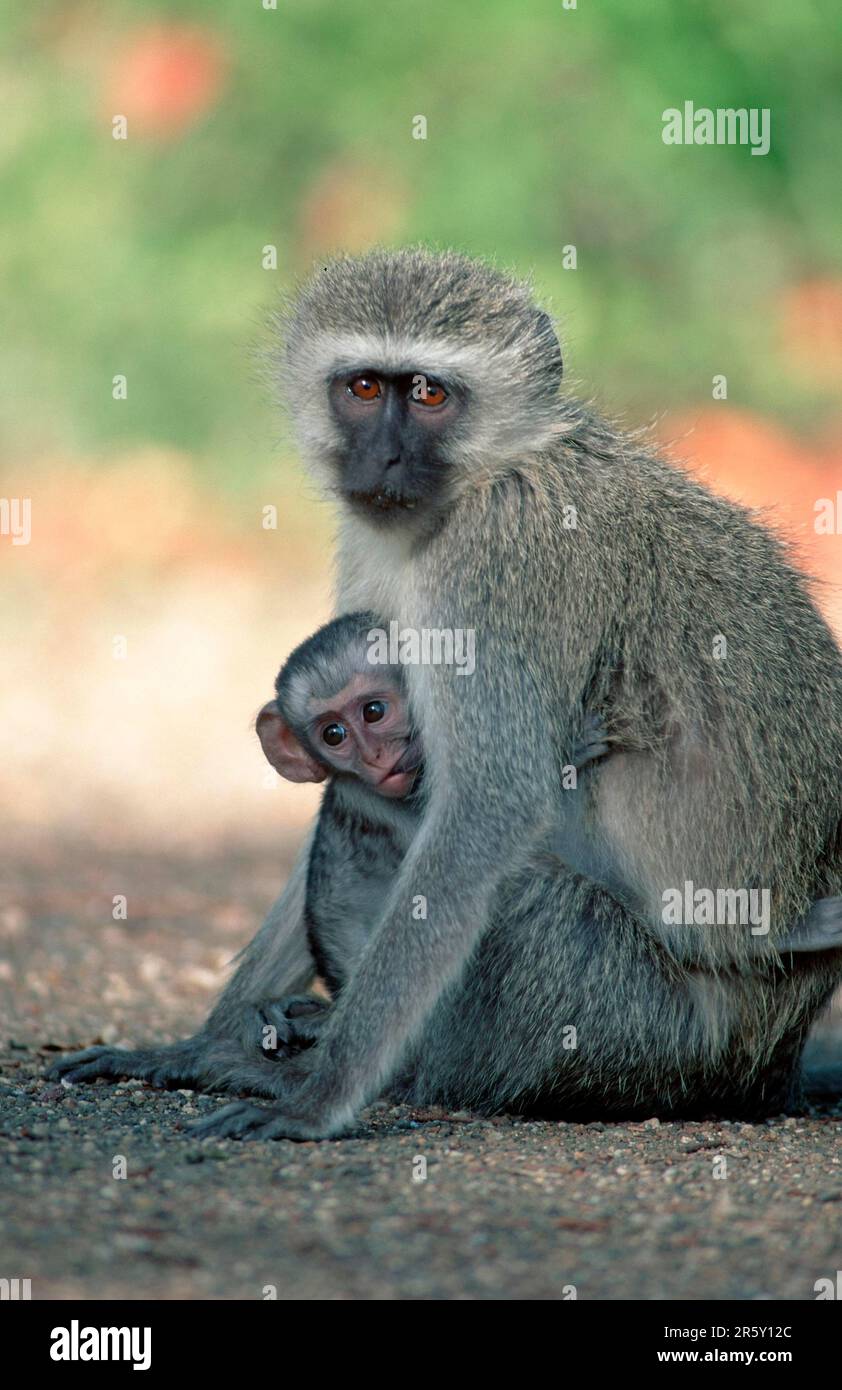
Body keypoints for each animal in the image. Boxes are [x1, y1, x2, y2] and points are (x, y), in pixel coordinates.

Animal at [49, 248, 842, 1139]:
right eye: (365, 388)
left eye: (429, 394)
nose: (386, 461)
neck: (485, 478)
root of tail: (771, 1064)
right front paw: (191, 1046)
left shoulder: (495, 561)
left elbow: (487, 809)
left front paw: (316, 1098)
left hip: (633, 1026)